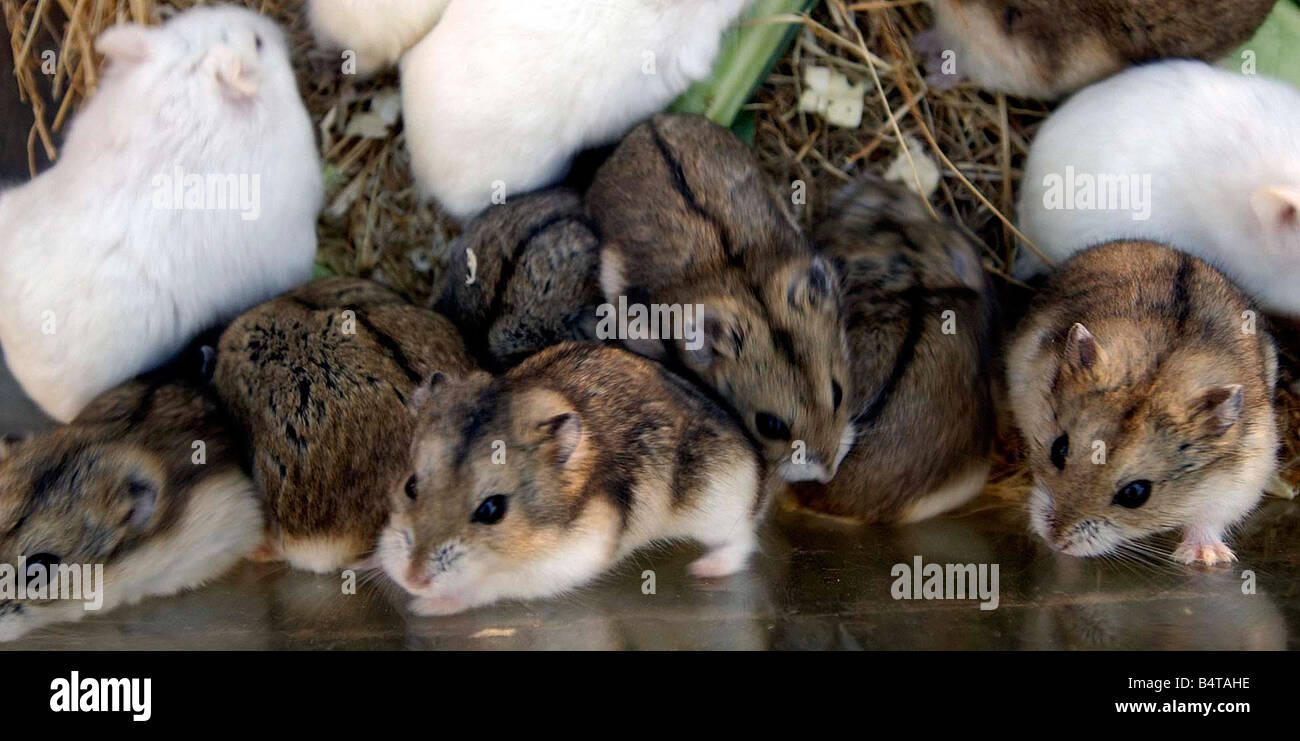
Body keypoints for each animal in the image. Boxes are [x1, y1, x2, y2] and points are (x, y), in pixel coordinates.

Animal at [379, 342, 768, 616]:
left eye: (492, 510)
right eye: (410, 485)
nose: (412, 580)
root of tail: (762, 471)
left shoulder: (571, 556)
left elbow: (495, 582)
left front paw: (424, 607)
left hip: (719, 504)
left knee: (743, 539)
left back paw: (704, 569)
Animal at [1007, 241, 1278, 565]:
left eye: (1136, 493)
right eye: (1058, 450)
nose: (1055, 541)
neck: (1155, 375)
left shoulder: (1237, 484)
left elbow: (1207, 520)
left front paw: (1206, 558)